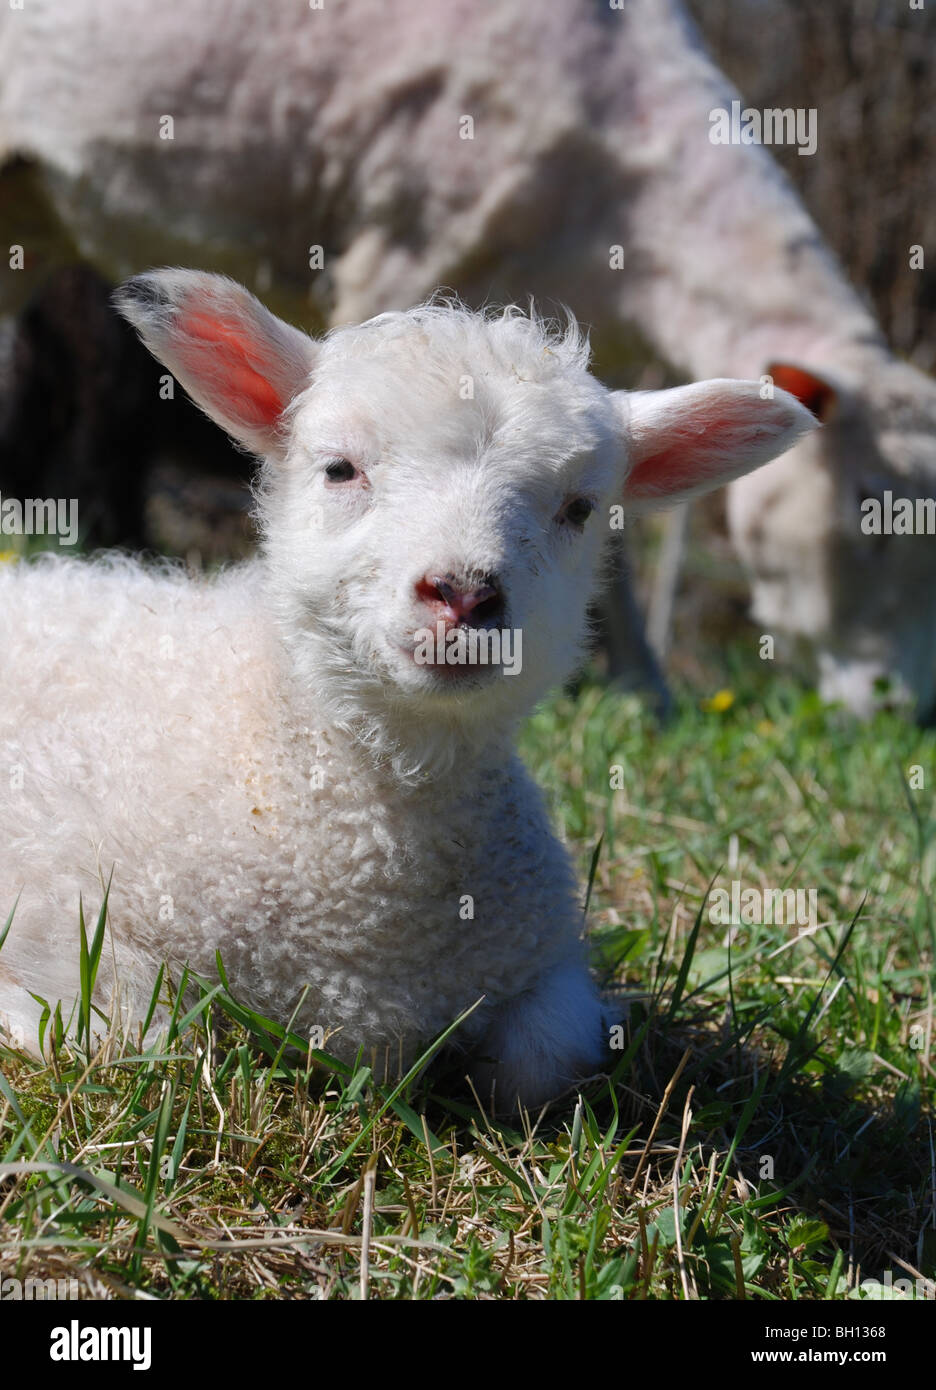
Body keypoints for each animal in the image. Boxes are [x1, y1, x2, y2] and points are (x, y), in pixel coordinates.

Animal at [0, 270, 815, 1109]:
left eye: (580, 508)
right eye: (339, 469)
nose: (463, 593)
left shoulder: (542, 954)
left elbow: (544, 1062)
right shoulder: (65, 909)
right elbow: (131, 1037)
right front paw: (23, 1017)